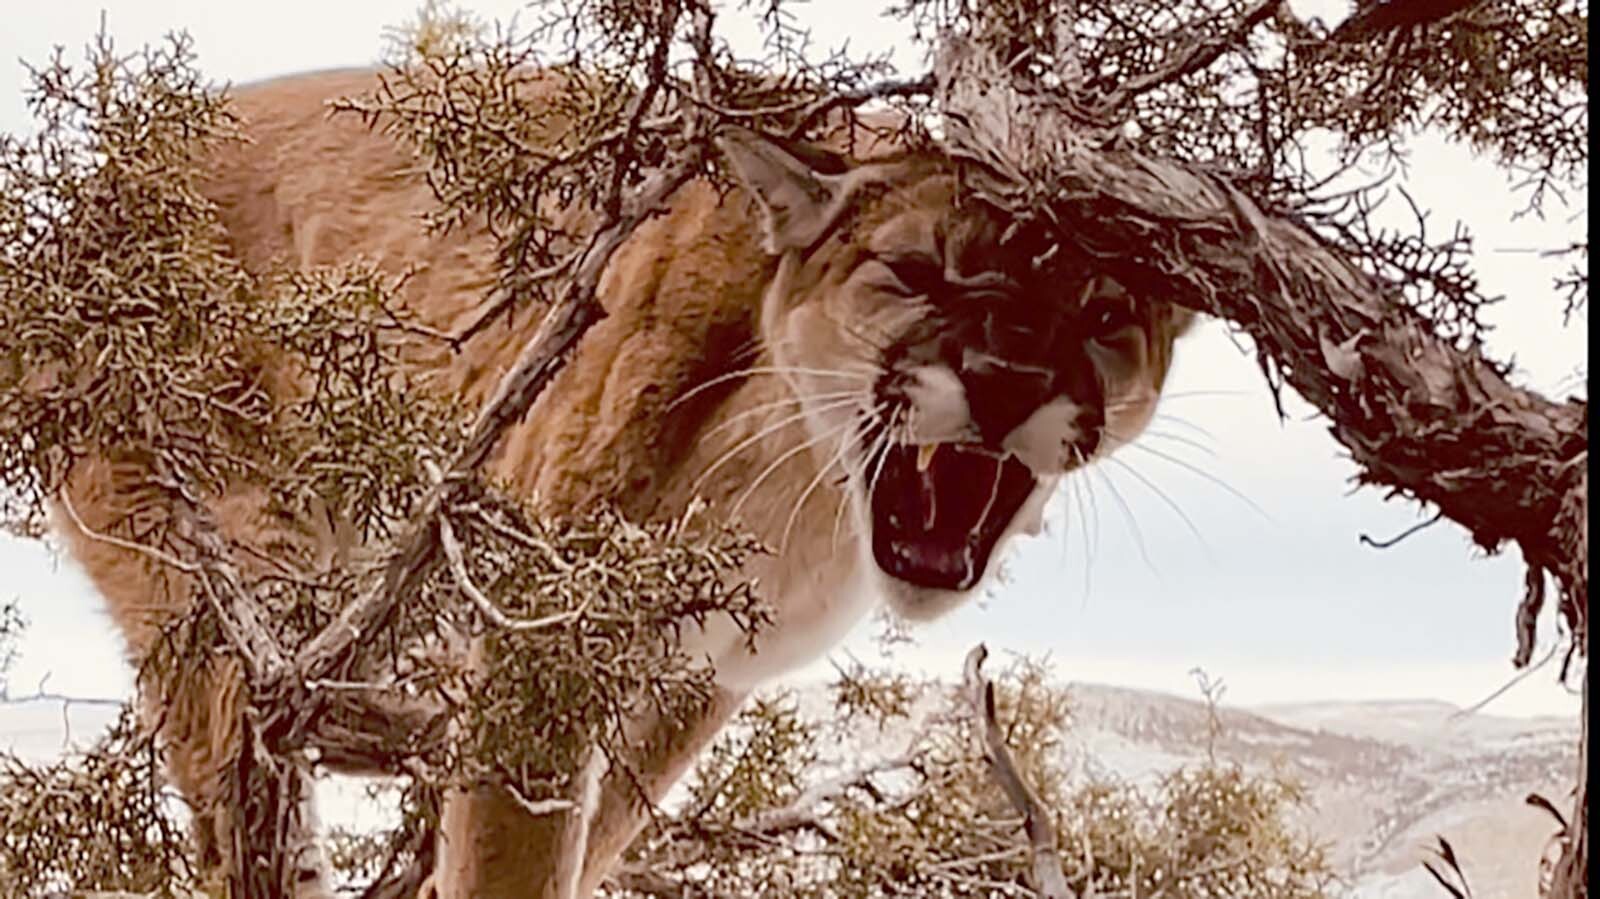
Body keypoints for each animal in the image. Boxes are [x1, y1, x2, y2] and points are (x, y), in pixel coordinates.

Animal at [55, 67, 1195, 897]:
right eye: (912, 273)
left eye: (1100, 314)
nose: (1005, 381)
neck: (804, 488)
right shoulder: (542, 640)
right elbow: (511, 862)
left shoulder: (698, 676)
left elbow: (592, 834)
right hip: (218, 573)